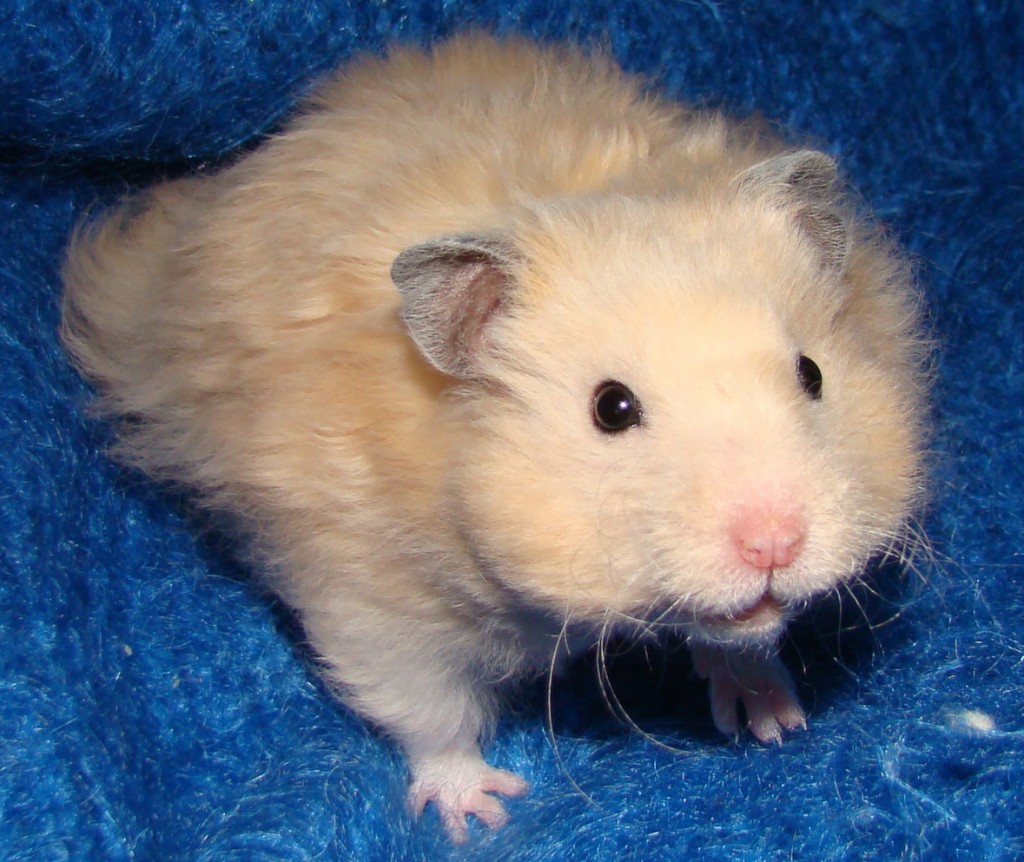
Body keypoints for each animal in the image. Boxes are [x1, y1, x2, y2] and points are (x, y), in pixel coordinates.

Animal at [61, 34, 928, 842]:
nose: (775, 542)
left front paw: (776, 720)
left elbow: (742, 638)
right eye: (612, 408)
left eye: (812, 374)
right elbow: (427, 712)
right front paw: (481, 811)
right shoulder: (371, 599)